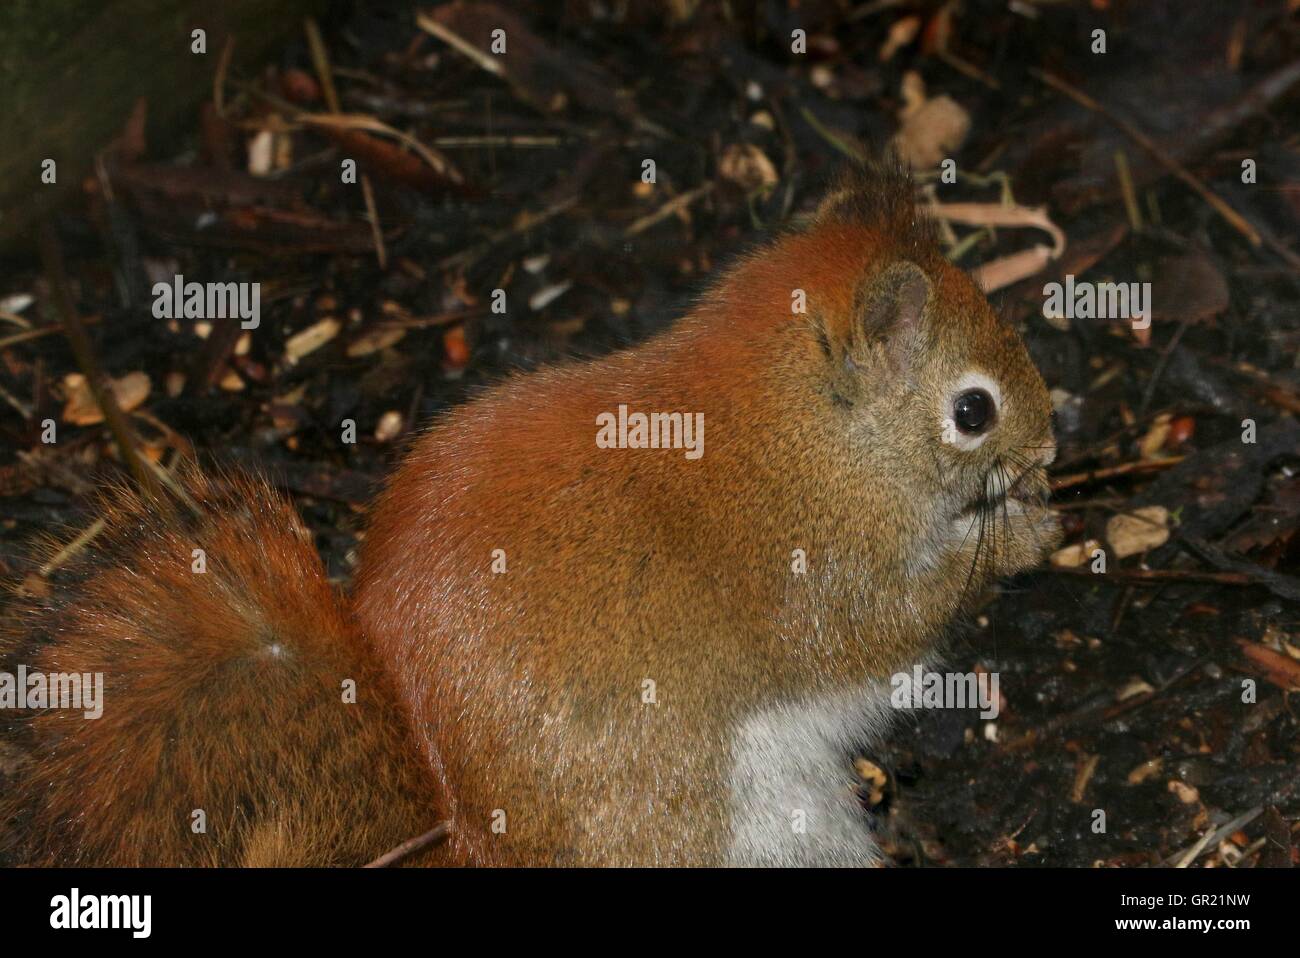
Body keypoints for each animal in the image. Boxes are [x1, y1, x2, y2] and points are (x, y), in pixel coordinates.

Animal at [0, 159, 1060, 867]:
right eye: (972, 411)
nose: (1051, 447)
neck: (802, 437)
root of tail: (461, 831)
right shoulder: (814, 567)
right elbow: (885, 626)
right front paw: (1022, 531)